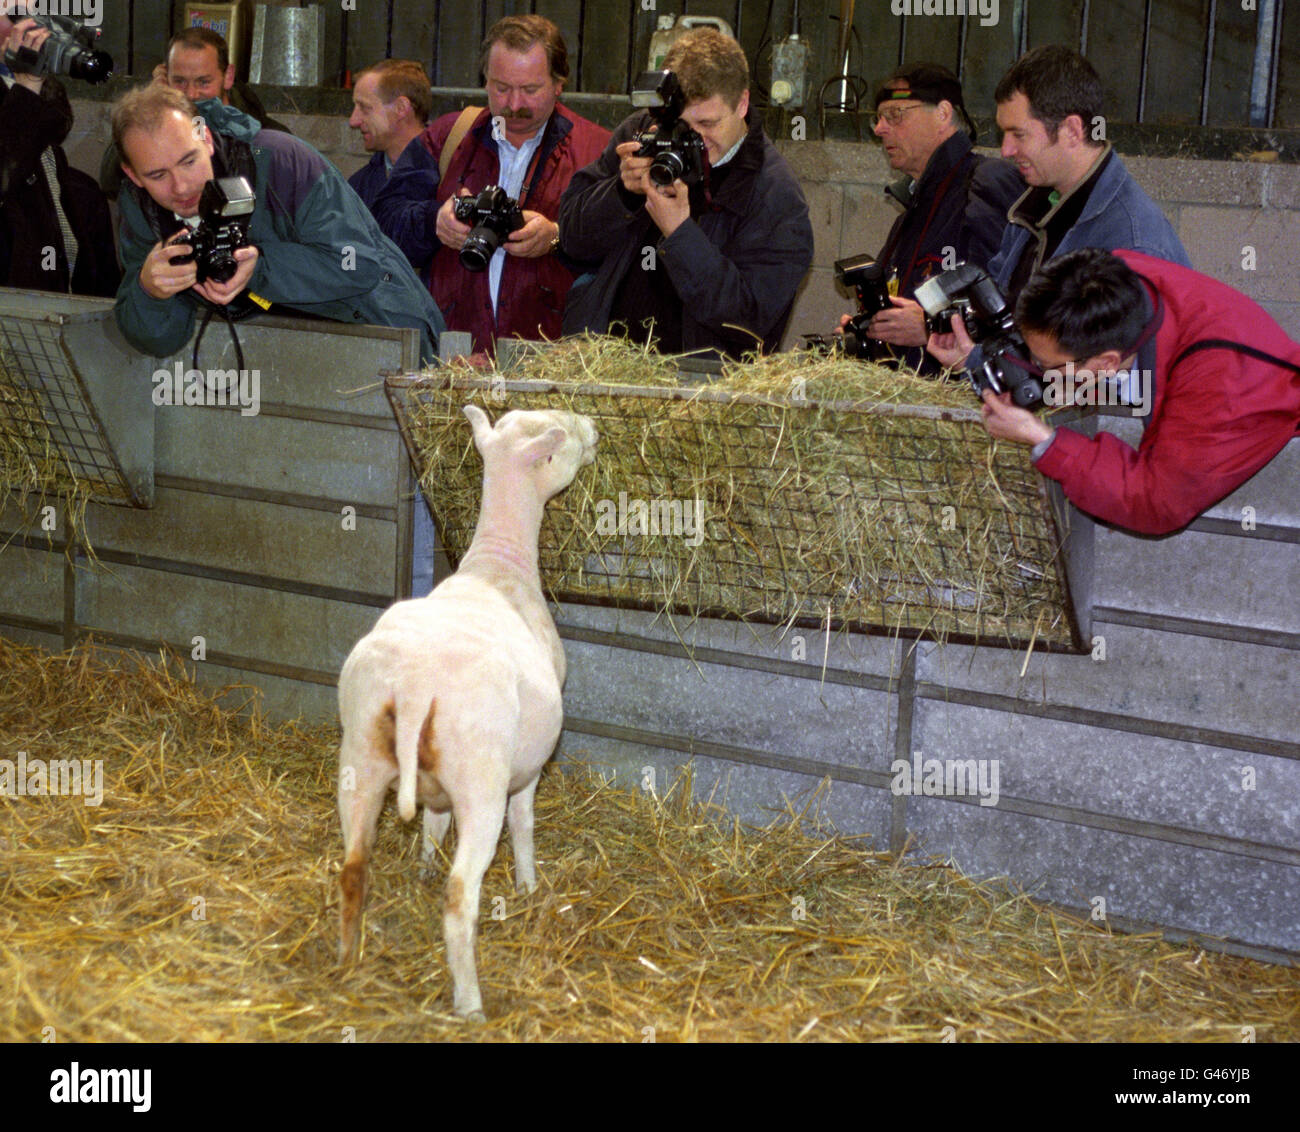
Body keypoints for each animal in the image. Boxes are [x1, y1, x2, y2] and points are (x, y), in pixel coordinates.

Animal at [336, 403, 598, 1021]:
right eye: (564, 437)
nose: (594, 429)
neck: (497, 563)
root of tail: (413, 685)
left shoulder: (436, 789)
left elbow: (433, 824)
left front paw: (422, 866)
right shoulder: (529, 769)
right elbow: (525, 826)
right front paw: (528, 885)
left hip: (359, 760)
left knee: (353, 869)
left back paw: (347, 963)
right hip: (481, 784)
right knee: (460, 897)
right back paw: (471, 1002)